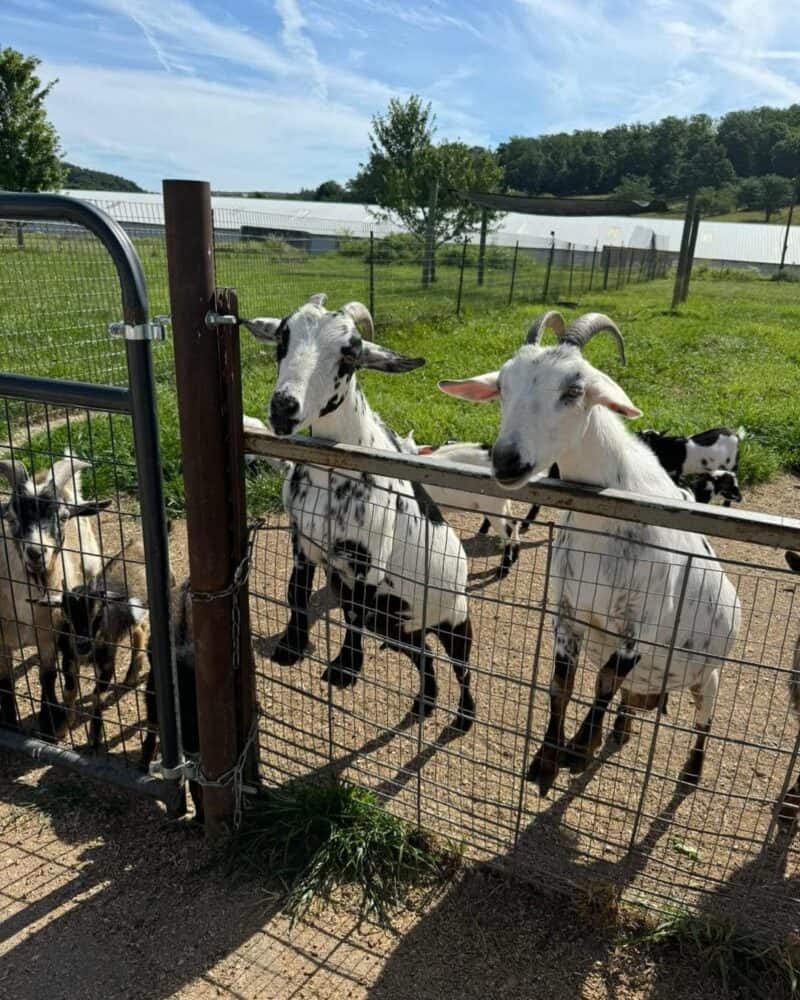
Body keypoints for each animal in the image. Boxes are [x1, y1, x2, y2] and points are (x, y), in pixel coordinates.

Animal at [0, 453, 110, 736]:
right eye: (10, 517)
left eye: (62, 517)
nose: (36, 552)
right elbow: (5, 681)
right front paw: (9, 723)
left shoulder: (48, 633)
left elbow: (47, 676)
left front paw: (48, 724)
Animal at [37, 537, 151, 749]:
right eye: (66, 615)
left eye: (97, 616)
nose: (82, 643)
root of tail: (137, 544)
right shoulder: (68, 658)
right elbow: (69, 691)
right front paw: (63, 726)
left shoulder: (106, 664)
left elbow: (98, 696)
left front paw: (94, 738)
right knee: (139, 630)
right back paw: (130, 676)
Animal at [244, 293, 475, 730]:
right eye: (282, 336)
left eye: (349, 354)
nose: (284, 408)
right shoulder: (303, 541)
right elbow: (295, 592)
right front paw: (291, 647)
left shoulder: (370, 558)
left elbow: (353, 613)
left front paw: (345, 669)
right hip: (397, 627)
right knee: (424, 656)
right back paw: (425, 703)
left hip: (456, 619)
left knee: (463, 666)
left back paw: (465, 718)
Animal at [439, 310, 741, 795]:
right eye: (503, 385)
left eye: (574, 390)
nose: (507, 460)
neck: (603, 528)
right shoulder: (567, 610)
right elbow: (561, 684)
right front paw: (546, 761)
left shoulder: (642, 625)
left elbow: (602, 683)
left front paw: (577, 752)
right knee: (630, 699)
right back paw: (621, 729)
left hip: (708, 675)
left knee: (702, 721)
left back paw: (691, 773)